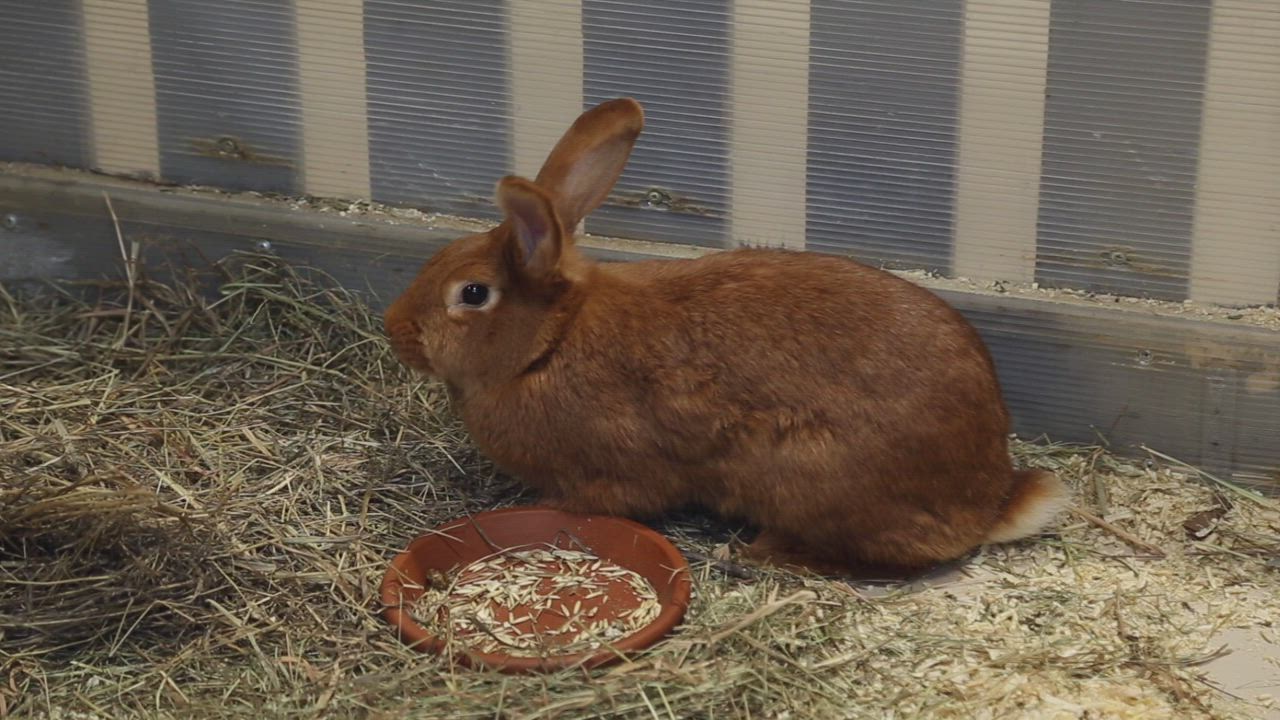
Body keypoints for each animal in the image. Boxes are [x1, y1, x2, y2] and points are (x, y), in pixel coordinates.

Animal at [384, 97, 1069, 576]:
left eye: (473, 294)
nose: (395, 331)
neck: (549, 344)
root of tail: (988, 501)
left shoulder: (612, 467)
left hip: (811, 481)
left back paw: (768, 553)